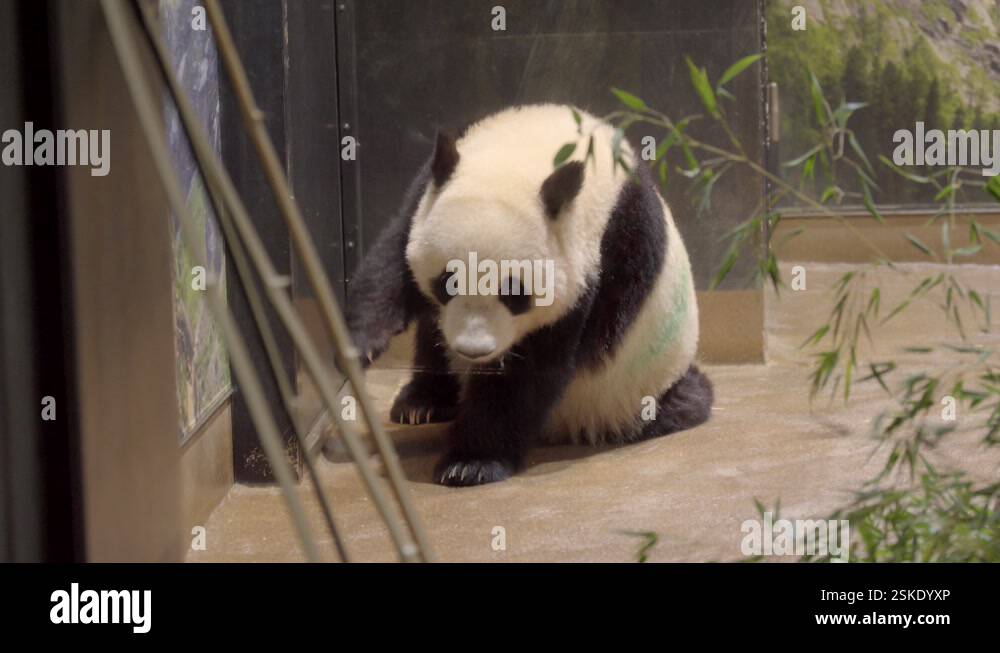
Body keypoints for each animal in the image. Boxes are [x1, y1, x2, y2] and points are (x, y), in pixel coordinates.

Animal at [346, 104, 712, 487]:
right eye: (449, 282)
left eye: (514, 292)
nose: (474, 349)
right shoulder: (425, 195)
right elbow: (392, 262)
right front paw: (359, 344)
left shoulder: (602, 259)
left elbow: (531, 371)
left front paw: (472, 462)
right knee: (433, 336)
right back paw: (421, 403)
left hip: (635, 388)